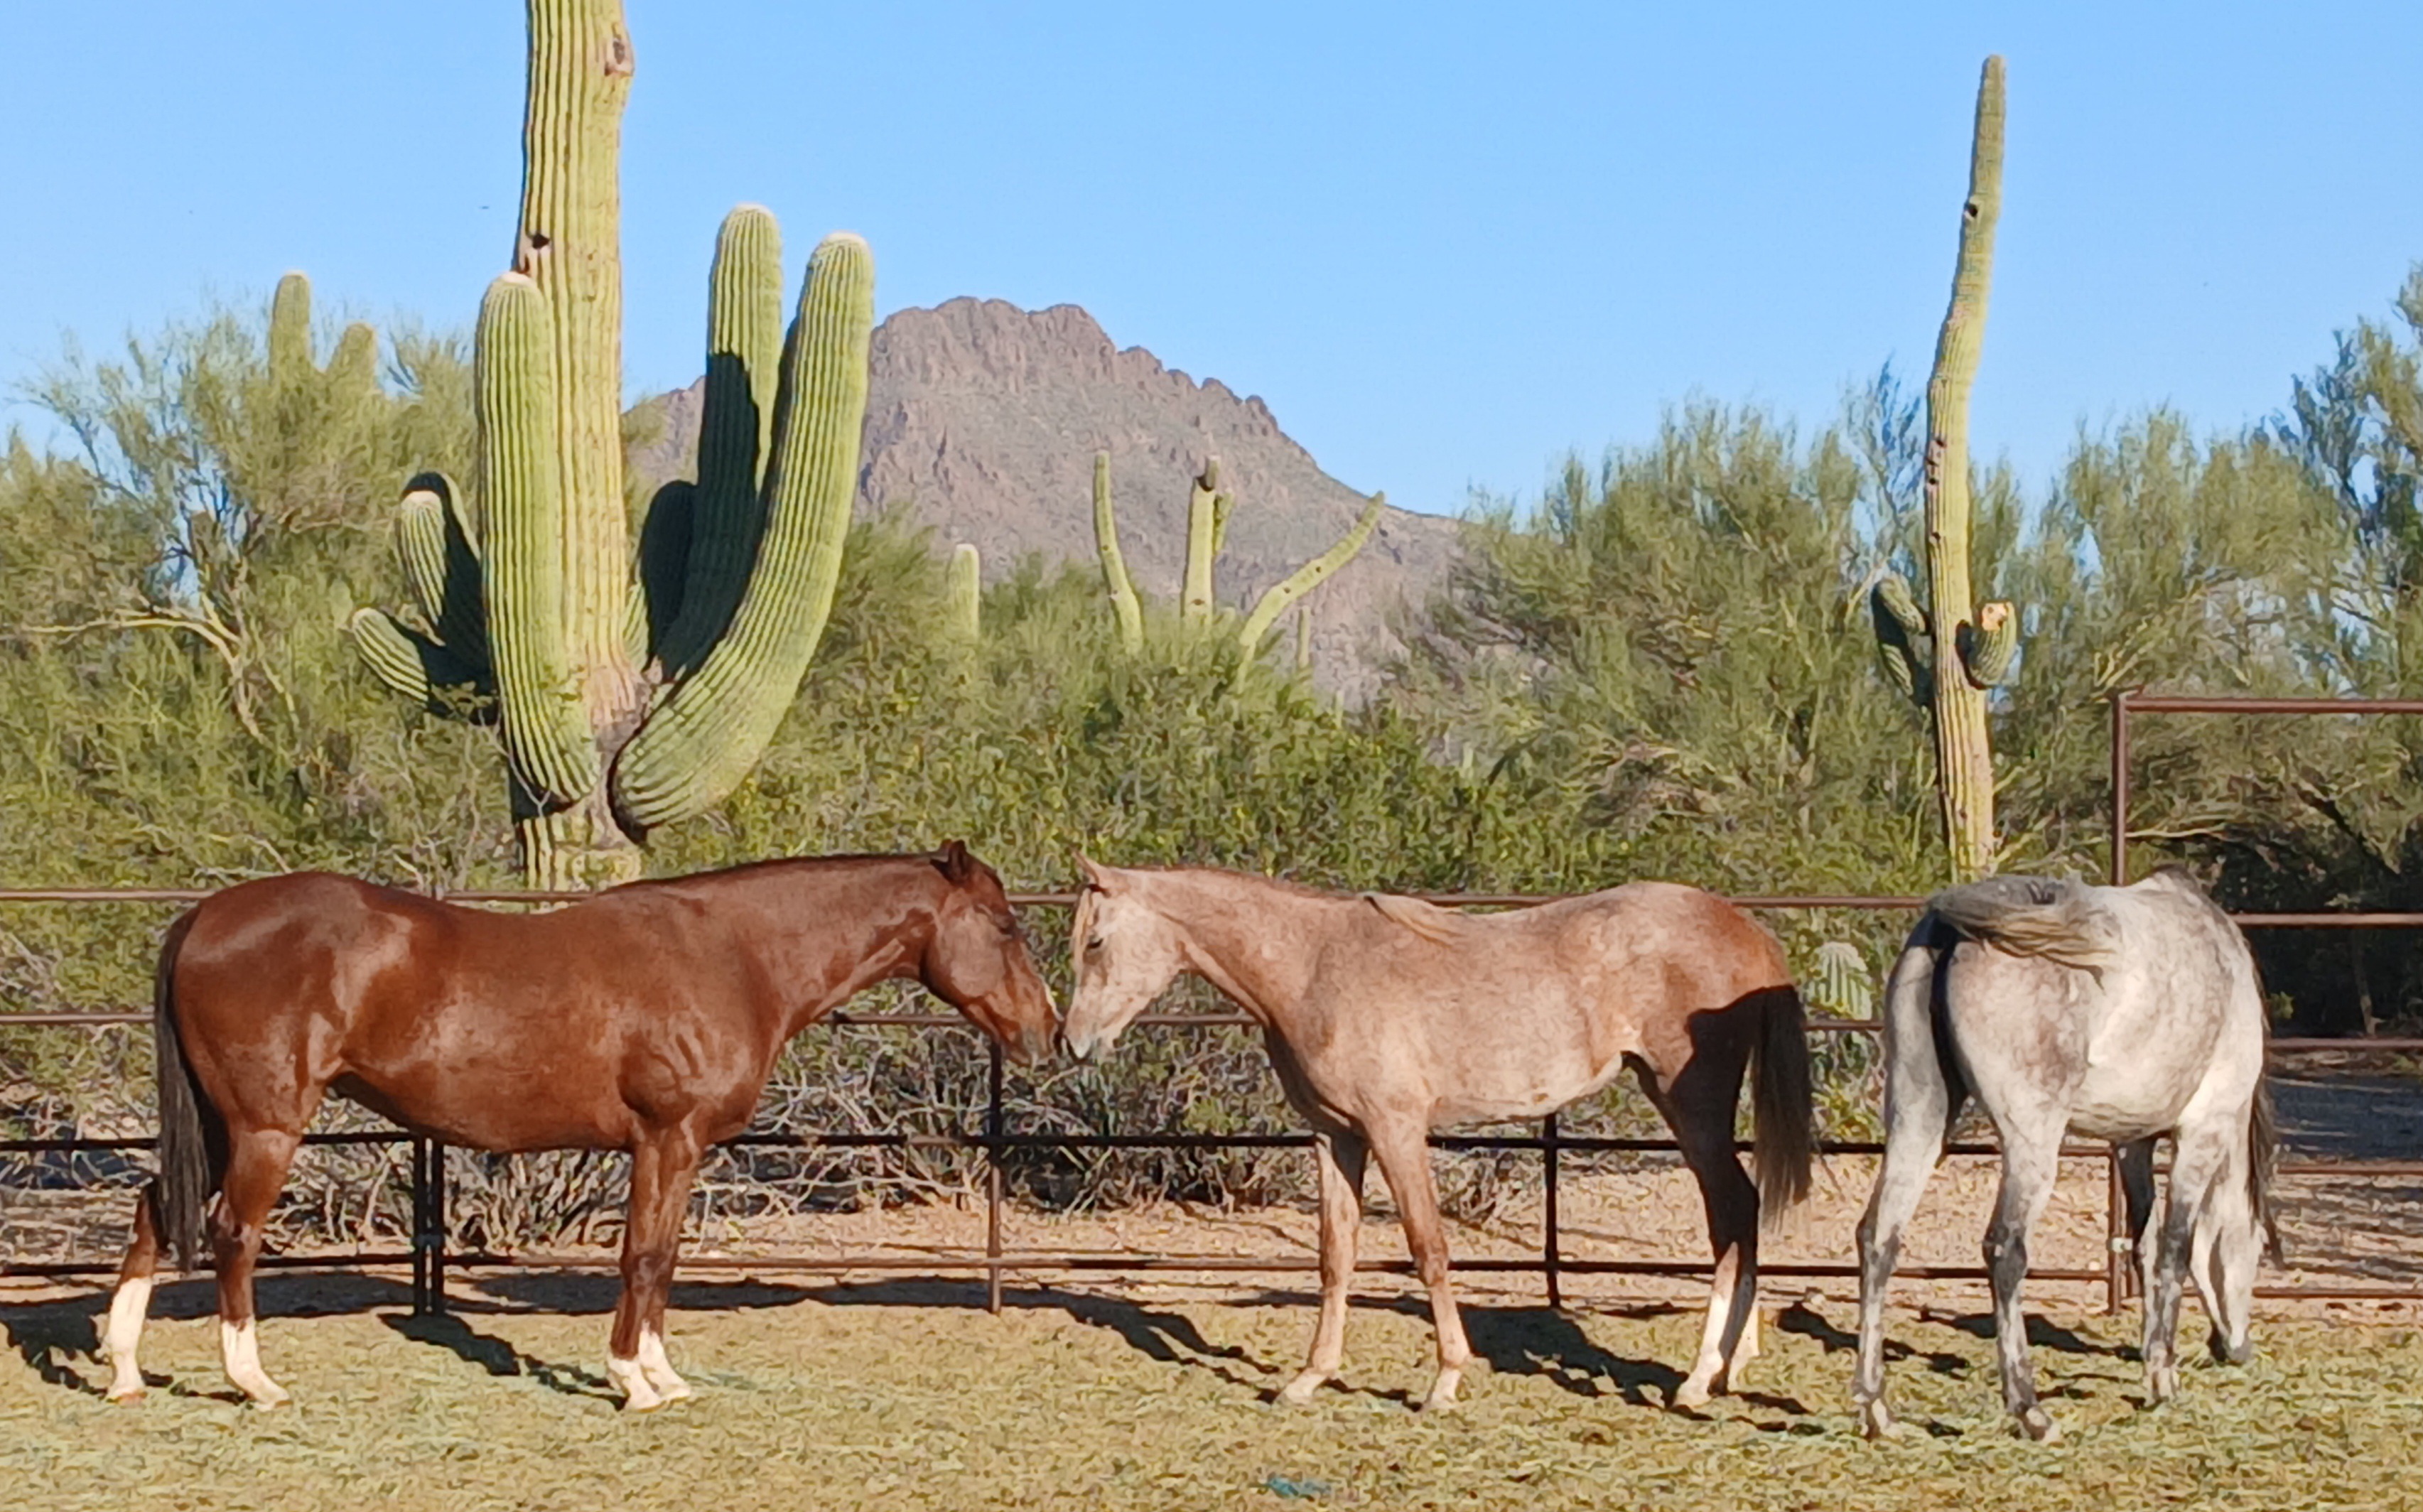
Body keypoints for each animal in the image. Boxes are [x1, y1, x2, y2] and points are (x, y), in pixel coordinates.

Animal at [100, 842, 1057, 1411]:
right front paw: (632, 1381)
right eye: (1006, 924)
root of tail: (206, 915)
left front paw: (665, 1375)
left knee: (153, 1215)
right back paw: (253, 1379)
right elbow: (640, 1258)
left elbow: (662, 1257)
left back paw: (123, 1371)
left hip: (216, 1125)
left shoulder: (677, 1150)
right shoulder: (665, 1138)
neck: (734, 954)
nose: (1048, 1031)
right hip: (265, 1125)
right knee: (234, 1233)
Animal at [1058, 859, 1815, 1411]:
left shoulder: (1396, 1131)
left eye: (1095, 941)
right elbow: (1336, 1255)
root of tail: (1745, 928)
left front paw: (1446, 1379)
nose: (1074, 1043)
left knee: (1731, 1214)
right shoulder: (1337, 1138)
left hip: (1693, 1105)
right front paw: (1309, 1378)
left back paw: (1699, 1377)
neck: (1314, 967)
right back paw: (1729, 1366)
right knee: (1740, 1215)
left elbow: (1428, 1248)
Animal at [1852, 868, 2280, 1442]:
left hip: (1918, 1117)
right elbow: (2175, 1248)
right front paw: (2164, 1378)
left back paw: (1876, 1408)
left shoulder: (2132, 1142)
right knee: (2005, 1250)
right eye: (2257, 1249)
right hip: (2031, 1140)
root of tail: (1954, 929)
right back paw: (2030, 1410)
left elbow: (2143, 1248)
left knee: (1880, 1237)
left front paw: (2152, 1362)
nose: (2237, 1348)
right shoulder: (2201, 1130)